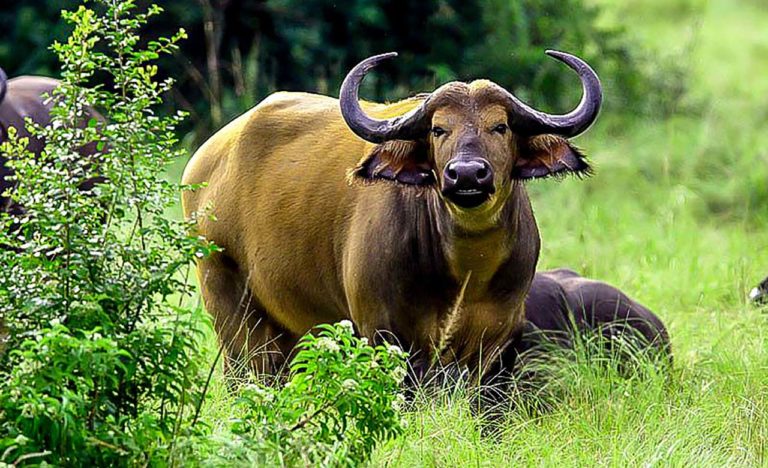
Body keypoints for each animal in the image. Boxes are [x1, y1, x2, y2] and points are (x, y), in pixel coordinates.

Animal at [182, 50, 603, 381]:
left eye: (500, 127)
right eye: (438, 129)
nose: (467, 174)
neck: (466, 274)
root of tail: (205, 163)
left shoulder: (500, 340)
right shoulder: (386, 334)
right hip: (232, 311)